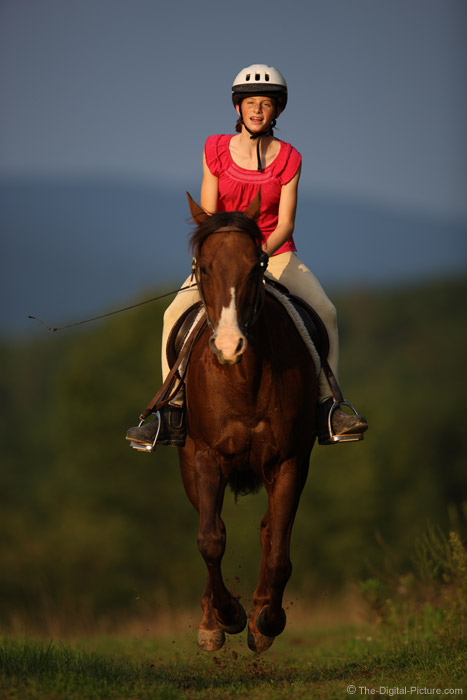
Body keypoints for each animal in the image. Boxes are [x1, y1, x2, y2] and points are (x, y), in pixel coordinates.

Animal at [178, 193, 319, 653]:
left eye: (256, 265)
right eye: (203, 267)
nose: (228, 345)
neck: (243, 378)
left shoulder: (290, 462)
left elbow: (278, 551)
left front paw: (266, 620)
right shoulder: (205, 456)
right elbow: (210, 538)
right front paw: (225, 616)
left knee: (270, 531)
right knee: (213, 525)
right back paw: (213, 618)